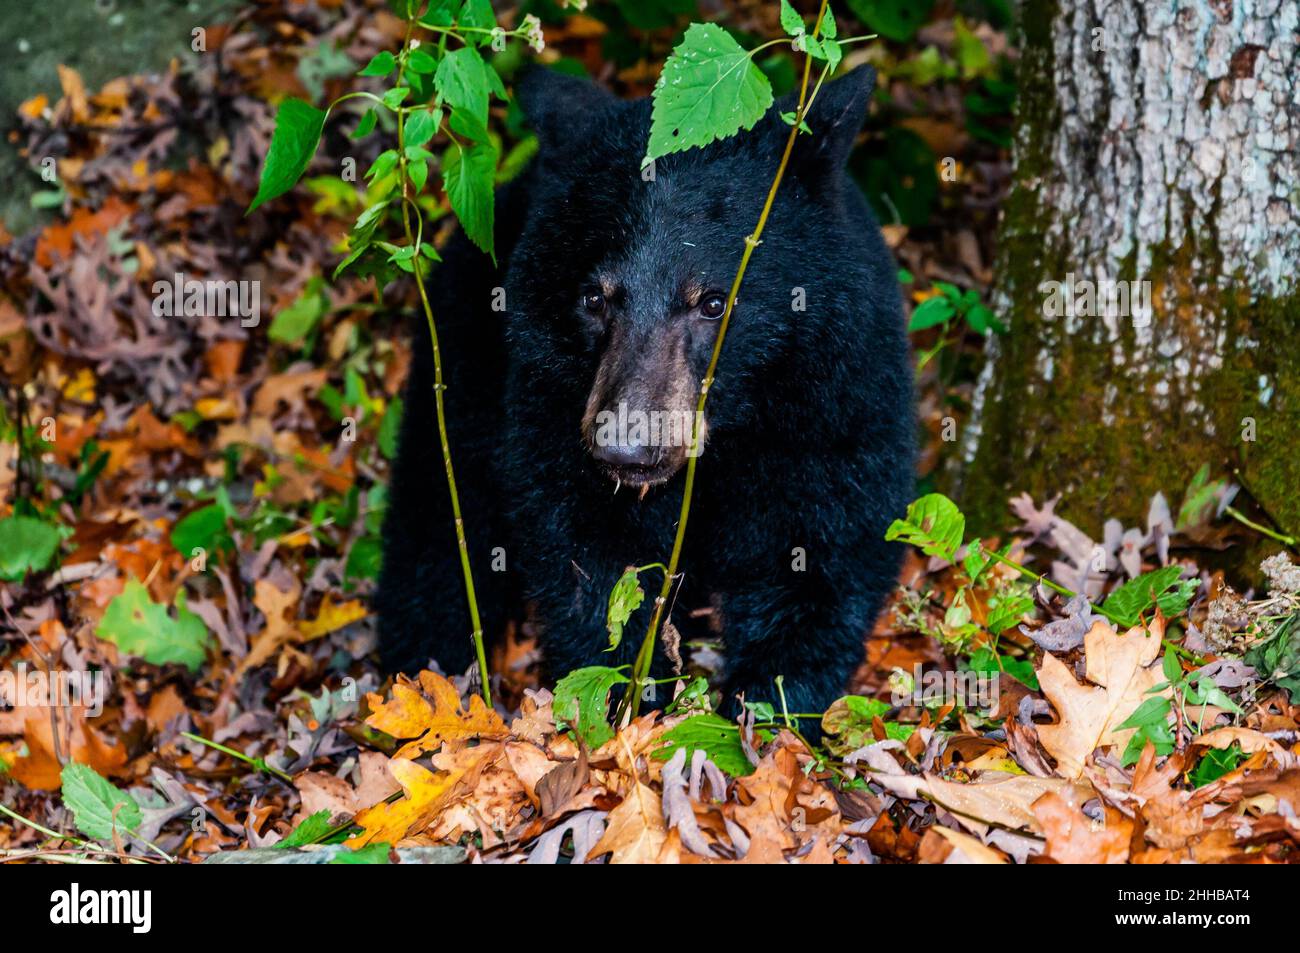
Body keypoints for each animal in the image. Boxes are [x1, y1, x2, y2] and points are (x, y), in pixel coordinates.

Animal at [376, 64, 915, 721]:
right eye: (594, 297)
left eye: (714, 302)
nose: (626, 447)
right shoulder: (547, 403)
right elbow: (595, 571)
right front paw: (626, 711)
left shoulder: (835, 404)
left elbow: (819, 557)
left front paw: (764, 711)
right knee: (439, 531)